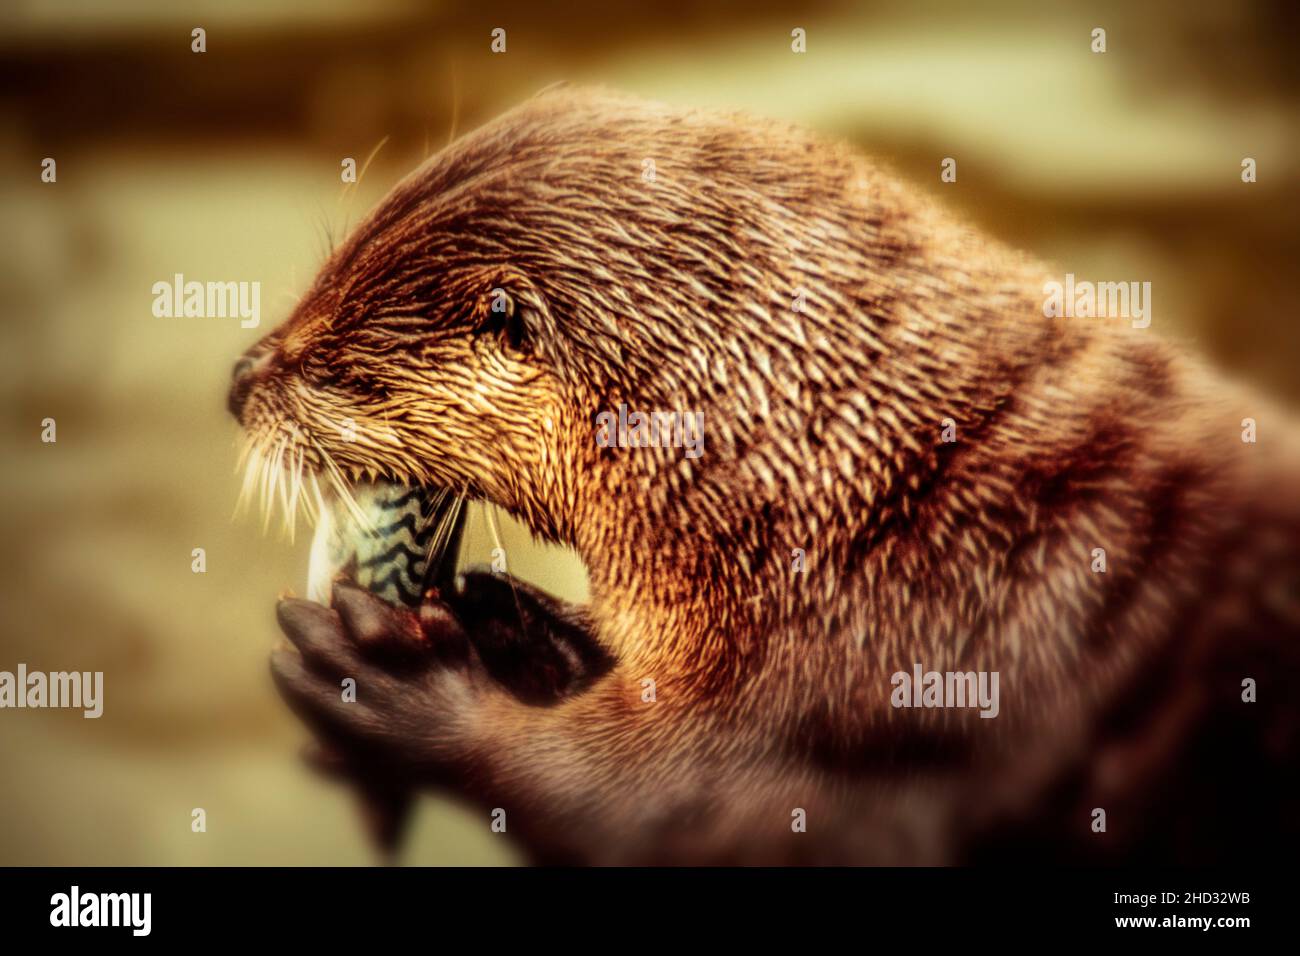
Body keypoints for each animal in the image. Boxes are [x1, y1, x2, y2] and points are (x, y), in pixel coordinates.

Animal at [230, 86, 1300, 864]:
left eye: (337, 365)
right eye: (321, 281)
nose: (242, 379)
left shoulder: (861, 714)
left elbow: (644, 810)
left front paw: (390, 676)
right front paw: (505, 623)